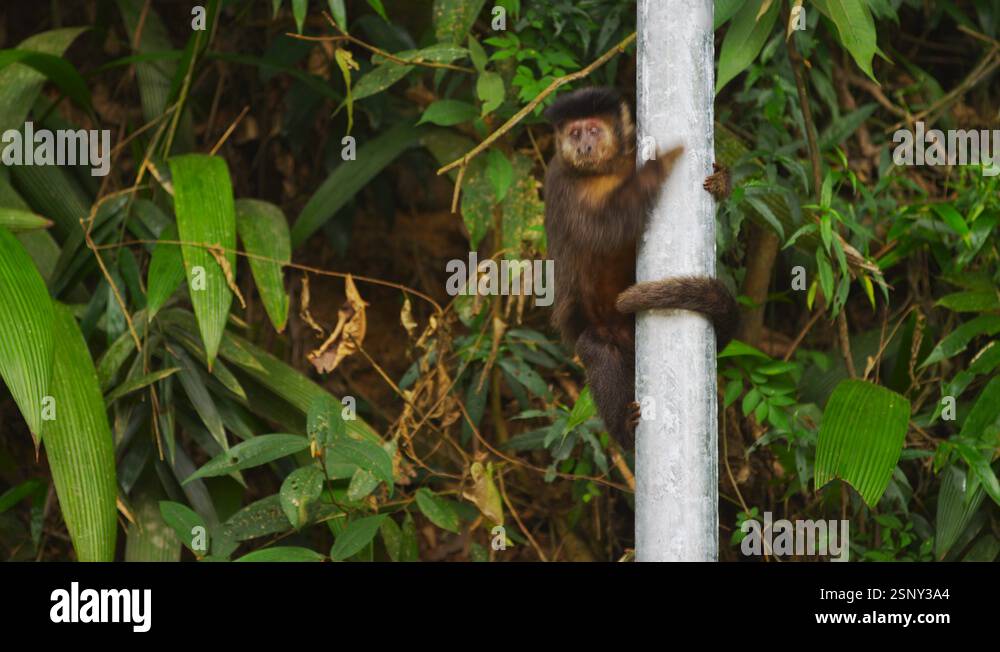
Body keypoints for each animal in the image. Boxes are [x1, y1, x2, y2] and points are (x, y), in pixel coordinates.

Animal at [542, 87, 738, 446]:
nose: (583, 146)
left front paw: (722, 181)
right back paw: (623, 429)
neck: (603, 170)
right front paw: (659, 166)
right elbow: (604, 231)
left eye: (593, 130)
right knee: (596, 347)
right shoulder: (560, 182)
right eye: (575, 133)